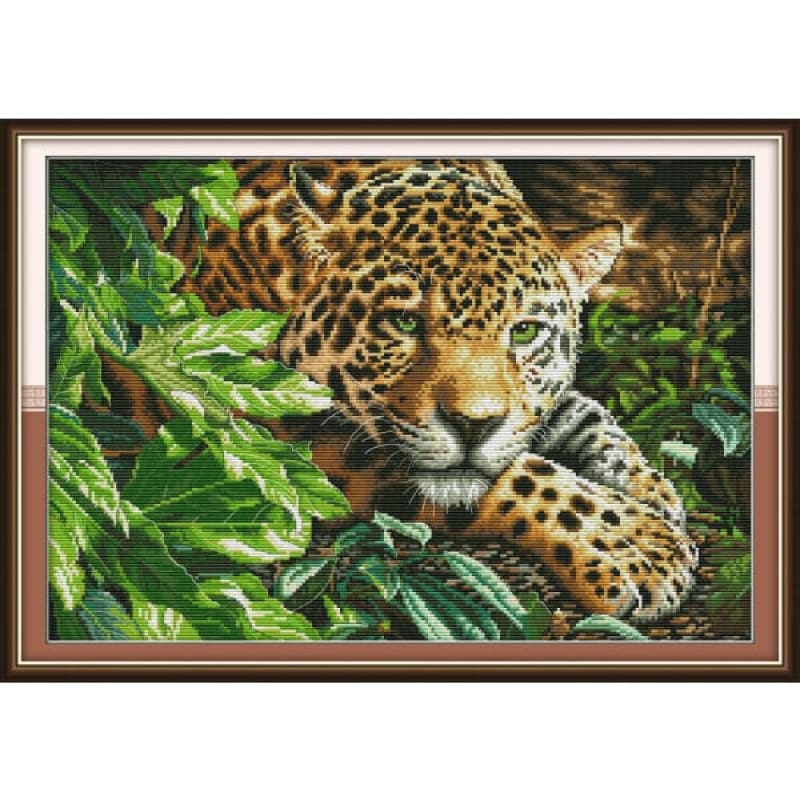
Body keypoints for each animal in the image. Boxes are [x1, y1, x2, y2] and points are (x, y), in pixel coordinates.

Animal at [138, 158, 699, 623]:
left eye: (523, 332)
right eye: (404, 322)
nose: (473, 426)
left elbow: (584, 414)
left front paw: (653, 489)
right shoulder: (262, 431)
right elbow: (520, 476)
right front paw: (639, 545)